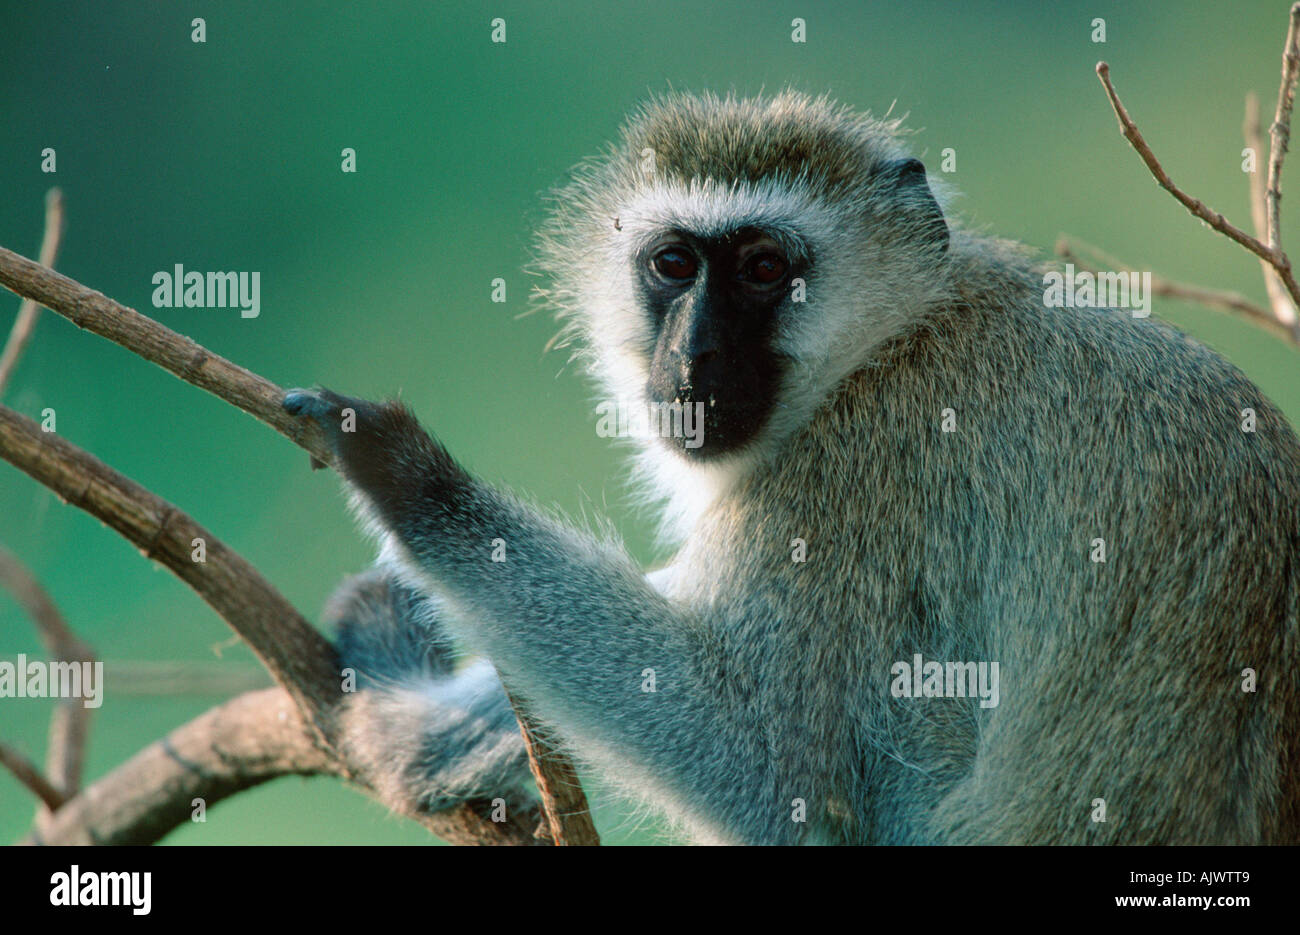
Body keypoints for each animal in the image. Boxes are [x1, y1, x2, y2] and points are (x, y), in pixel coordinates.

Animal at [286, 90, 1300, 845]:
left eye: (766, 268)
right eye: (673, 264)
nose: (692, 357)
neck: (887, 345)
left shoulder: (853, 477)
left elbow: (768, 766)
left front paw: (408, 478)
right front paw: (403, 722)